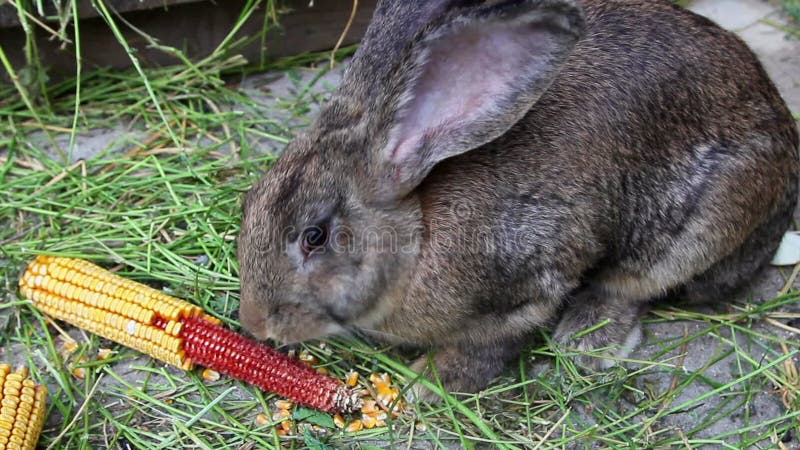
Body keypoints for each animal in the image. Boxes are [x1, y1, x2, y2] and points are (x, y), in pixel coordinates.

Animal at [237, 0, 799, 401]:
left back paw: (588, 339)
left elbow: (486, 347)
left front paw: (429, 383)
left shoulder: (527, 287)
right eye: (248, 205)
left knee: (634, 285)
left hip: (697, 226)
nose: (255, 324)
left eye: (314, 237)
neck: (419, 235)